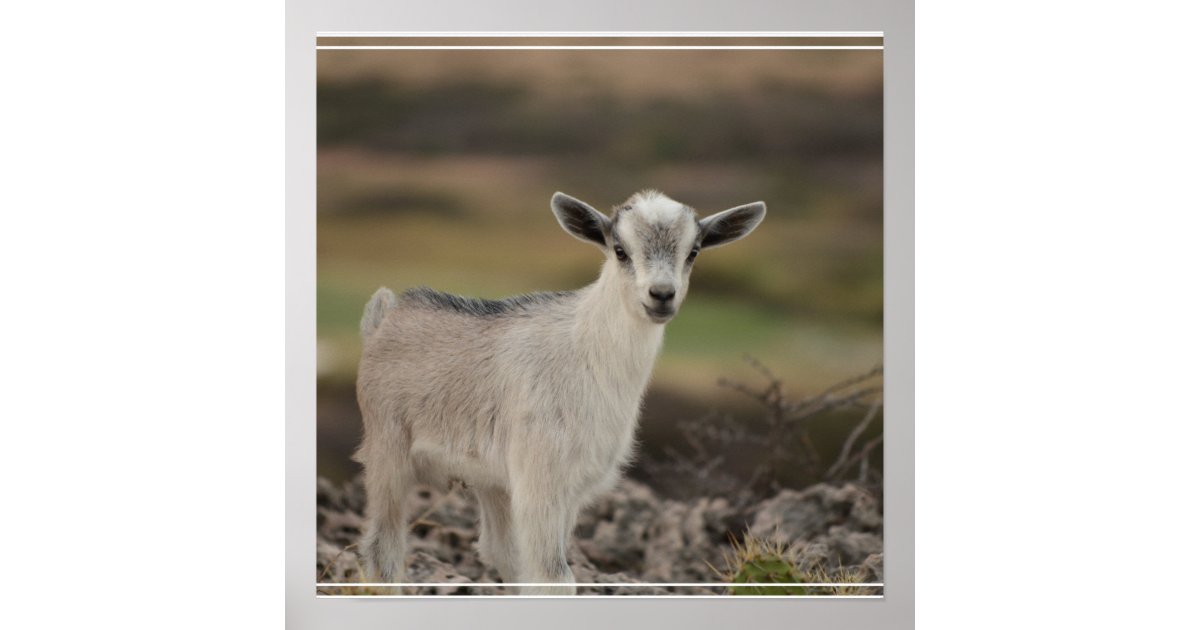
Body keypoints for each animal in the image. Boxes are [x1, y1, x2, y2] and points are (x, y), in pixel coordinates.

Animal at [354, 190, 766, 594]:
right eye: (620, 249)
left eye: (693, 250)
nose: (662, 295)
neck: (587, 352)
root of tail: (383, 318)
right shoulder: (542, 478)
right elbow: (554, 577)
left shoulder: (569, 489)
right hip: (388, 450)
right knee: (383, 550)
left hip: (491, 480)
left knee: (499, 550)